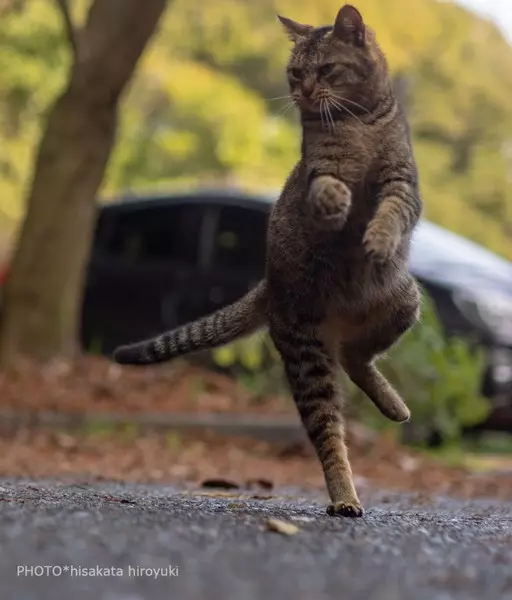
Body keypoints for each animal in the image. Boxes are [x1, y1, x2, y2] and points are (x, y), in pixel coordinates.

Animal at [114, 4, 422, 516]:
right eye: (296, 72)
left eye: (326, 69)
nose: (304, 92)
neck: (356, 122)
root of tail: (268, 283)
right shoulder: (320, 170)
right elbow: (326, 185)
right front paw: (334, 202)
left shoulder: (401, 182)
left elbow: (393, 212)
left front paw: (378, 237)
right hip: (308, 357)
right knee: (330, 427)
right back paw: (345, 497)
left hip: (403, 303)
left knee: (357, 357)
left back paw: (393, 408)